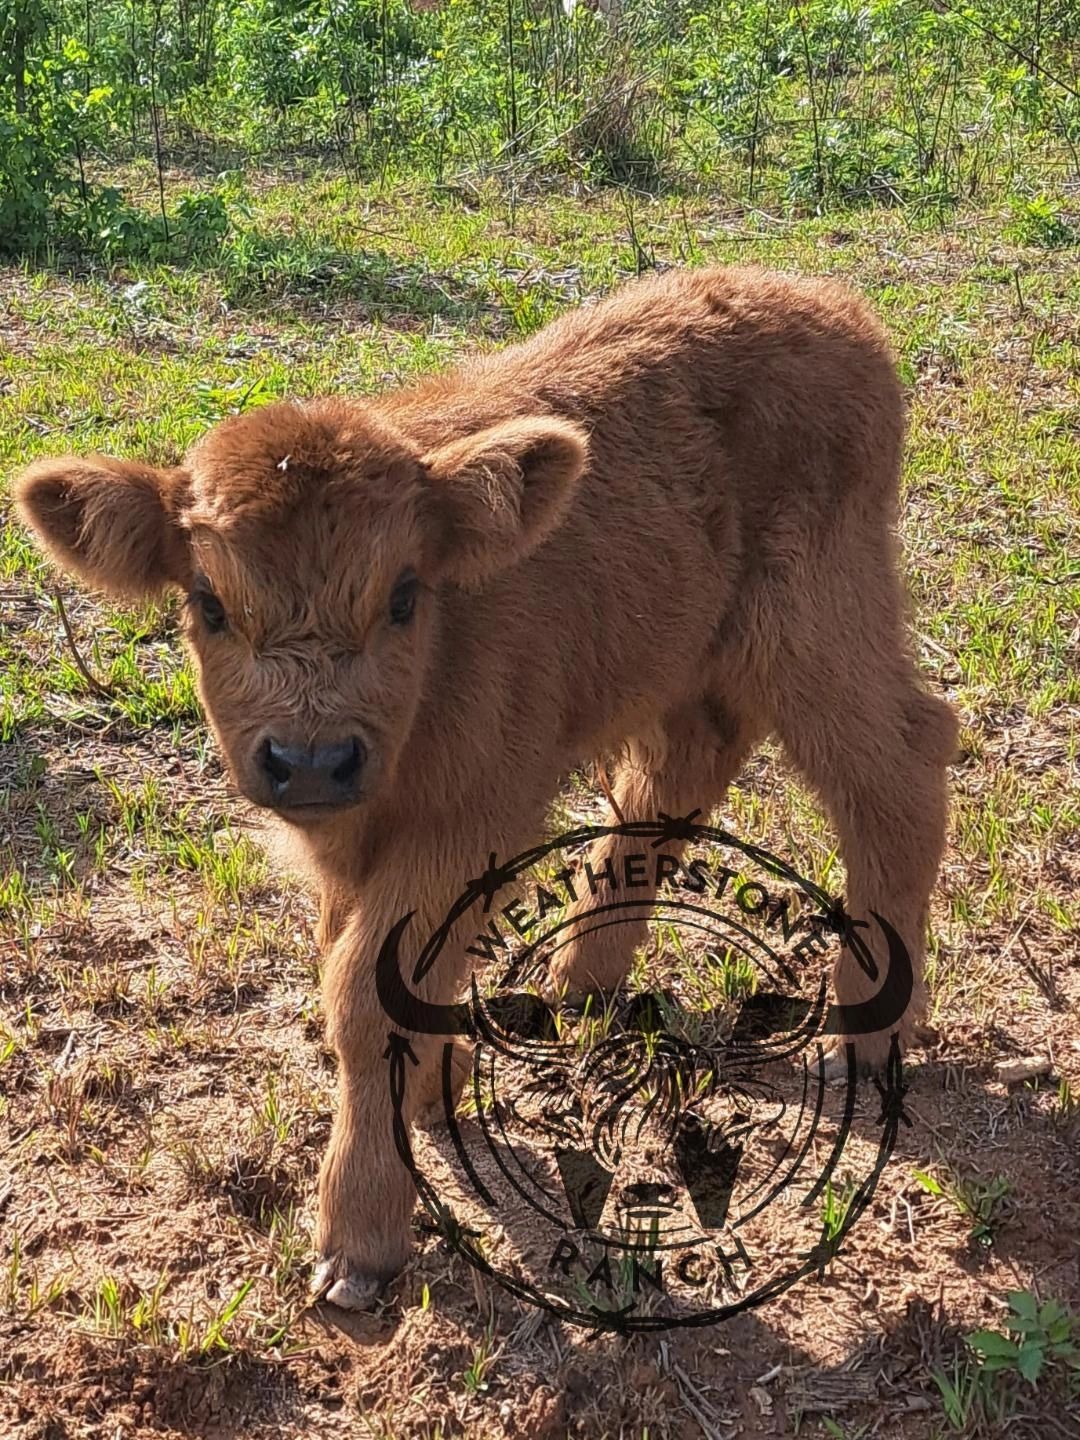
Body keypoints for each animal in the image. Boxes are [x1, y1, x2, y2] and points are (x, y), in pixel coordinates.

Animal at [14, 265, 957, 1309]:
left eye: (403, 595)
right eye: (210, 604)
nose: (313, 759)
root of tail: (823, 301)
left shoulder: (470, 822)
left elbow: (366, 990)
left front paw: (359, 1245)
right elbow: (354, 955)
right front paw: (442, 1082)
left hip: (817, 626)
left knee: (901, 769)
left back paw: (873, 1027)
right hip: (691, 657)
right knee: (676, 779)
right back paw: (582, 984)